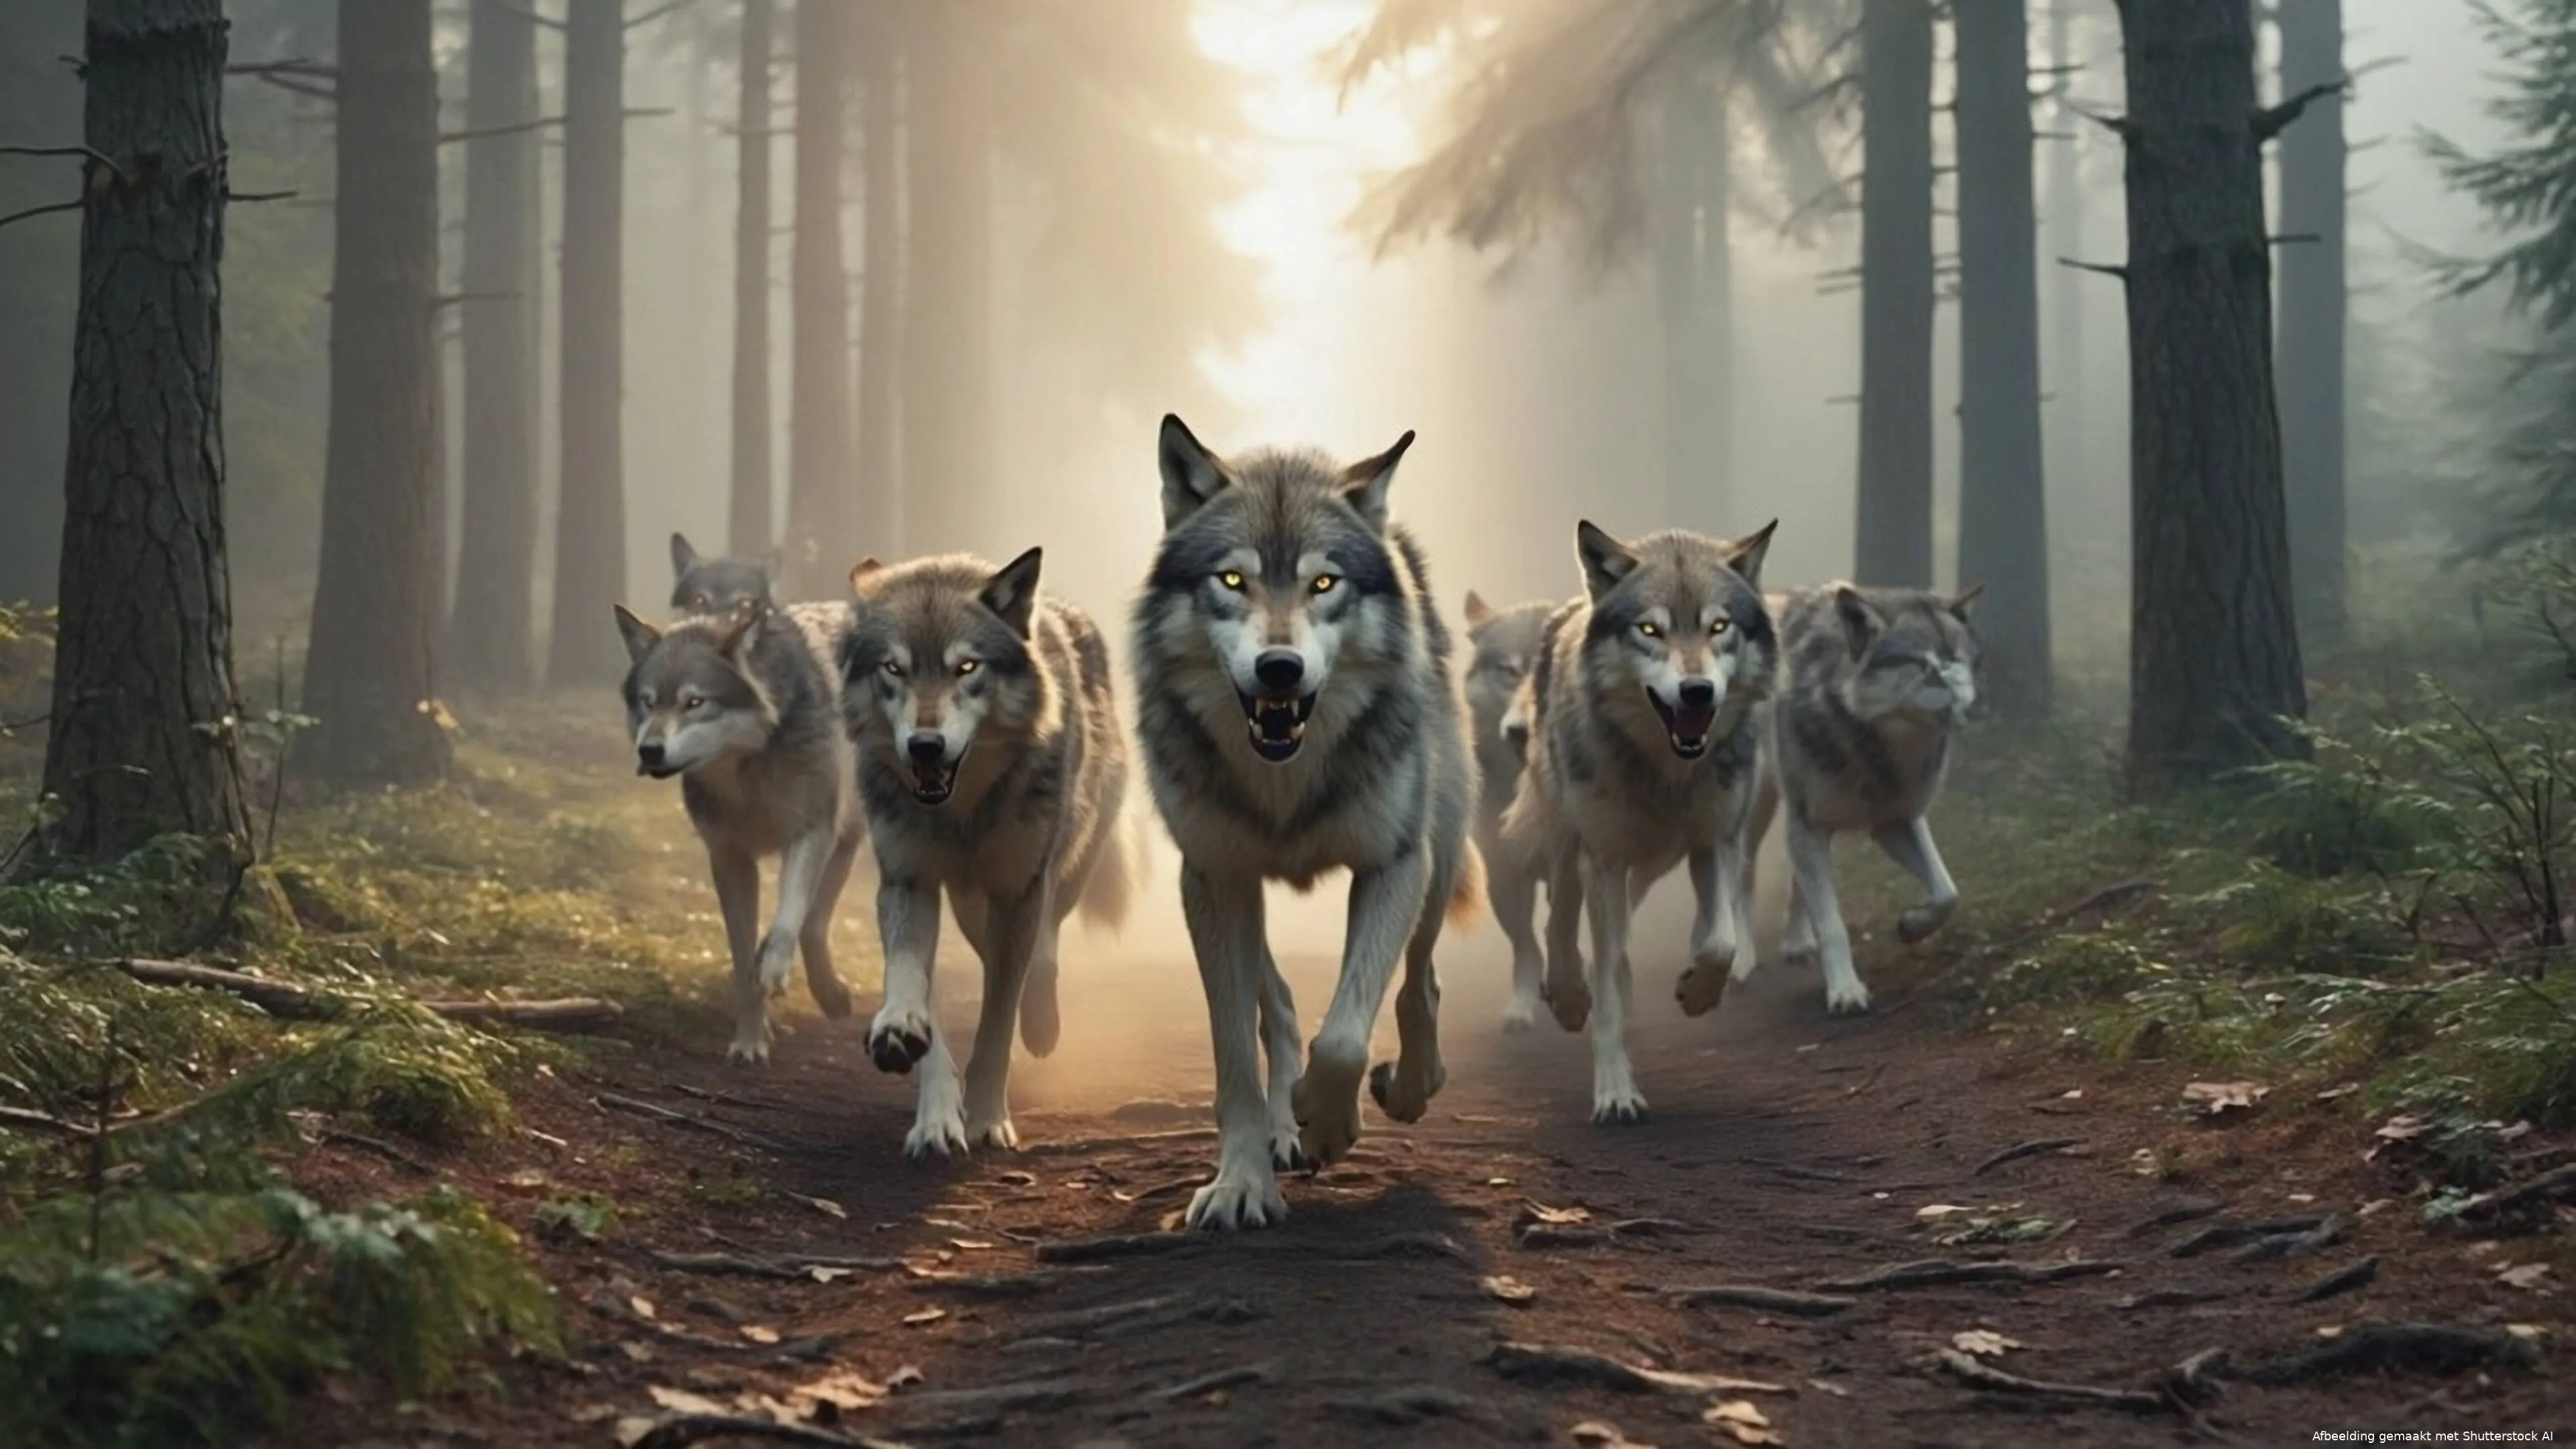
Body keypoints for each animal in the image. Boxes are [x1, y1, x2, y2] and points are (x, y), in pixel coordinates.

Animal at [614, 596, 863, 1063]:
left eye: (695, 702)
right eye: (648, 703)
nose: (649, 751)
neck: (746, 768)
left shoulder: (810, 832)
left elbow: (788, 920)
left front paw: (774, 968)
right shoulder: (730, 857)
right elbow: (741, 961)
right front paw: (750, 1041)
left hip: (849, 827)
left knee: (813, 919)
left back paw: (828, 991)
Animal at [837, 547, 1133, 1159]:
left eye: (967, 668)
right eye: (894, 669)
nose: (925, 747)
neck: (960, 816)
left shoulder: (1020, 889)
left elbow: (997, 1018)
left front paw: (987, 1119)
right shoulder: (908, 882)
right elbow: (914, 985)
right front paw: (931, 1108)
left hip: (1057, 874)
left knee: (1043, 950)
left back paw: (1042, 1024)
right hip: (972, 905)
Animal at [1133, 414, 1482, 1231]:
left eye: (1325, 582)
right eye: (1232, 580)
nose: (1280, 669)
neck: (1283, 780)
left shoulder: (1392, 863)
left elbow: (1347, 1036)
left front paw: (1329, 1123)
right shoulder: (1215, 875)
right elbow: (1235, 1060)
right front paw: (1242, 1181)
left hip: (1438, 853)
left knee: (1420, 982)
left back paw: (1406, 1088)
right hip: (1225, 888)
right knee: (1283, 1003)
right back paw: (1281, 1130)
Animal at [1499, 520, 1779, 1124]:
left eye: (1719, 626)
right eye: (1651, 629)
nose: (1697, 691)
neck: (1667, 775)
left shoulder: (1715, 841)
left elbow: (1720, 941)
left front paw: (1698, 991)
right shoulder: (1603, 860)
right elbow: (1605, 981)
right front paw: (1615, 1092)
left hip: (1649, 868)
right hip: (1570, 836)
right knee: (1561, 920)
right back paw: (1567, 995)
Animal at [1741, 582, 1983, 1015]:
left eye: (1959, 660)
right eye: (1924, 666)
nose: (1971, 708)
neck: (1873, 747)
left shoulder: (1895, 821)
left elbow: (1947, 892)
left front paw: (1912, 926)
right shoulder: (1810, 823)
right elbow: (1833, 925)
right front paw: (1845, 992)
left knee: (1794, 878)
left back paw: (1797, 942)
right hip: (1754, 808)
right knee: (1740, 871)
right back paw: (1740, 958)